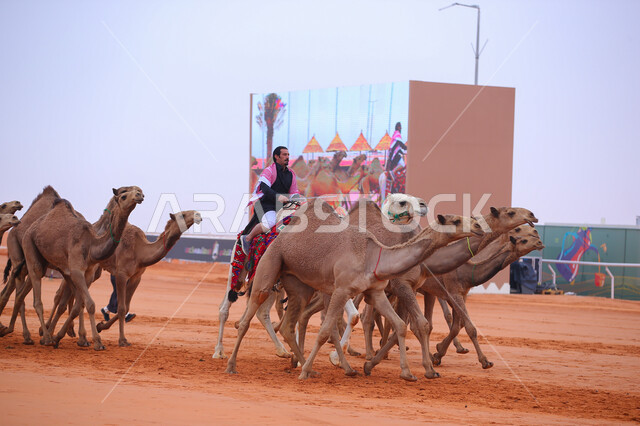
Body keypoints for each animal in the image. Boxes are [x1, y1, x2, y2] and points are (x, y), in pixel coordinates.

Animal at [0, 186, 142, 344]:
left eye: (138, 190)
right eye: (123, 195)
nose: (139, 195)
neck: (92, 244)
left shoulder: (86, 273)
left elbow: (79, 303)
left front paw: (80, 338)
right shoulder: (76, 270)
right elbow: (88, 304)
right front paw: (95, 341)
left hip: (42, 262)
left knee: (20, 294)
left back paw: (15, 331)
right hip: (27, 249)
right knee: (34, 298)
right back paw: (44, 337)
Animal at [46, 210, 201, 347]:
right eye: (183, 214)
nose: (198, 215)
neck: (140, 251)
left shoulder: (136, 277)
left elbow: (127, 306)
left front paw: (101, 326)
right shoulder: (121, 274)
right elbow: (121, 308)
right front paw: (122, 340)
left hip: (95, 270)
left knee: (75, 296)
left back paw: (74, 335)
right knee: (62, 294)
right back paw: (49, 331)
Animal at [225, 198, 483, 381]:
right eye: (455, 220)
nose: (478, 226)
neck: (375, 256)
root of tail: (279, 233)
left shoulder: (375, 292)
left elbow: (400, 324)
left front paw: (407, 373)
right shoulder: (342, 289)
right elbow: (325, 330)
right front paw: (306, 372)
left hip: (299, 285)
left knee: (288, 324)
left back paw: (312, 365)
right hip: (270, 264)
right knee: (248, 317)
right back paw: (231, 364)